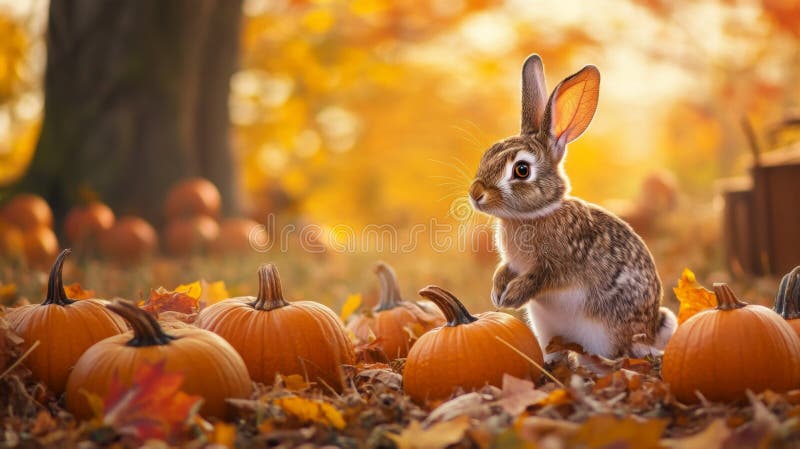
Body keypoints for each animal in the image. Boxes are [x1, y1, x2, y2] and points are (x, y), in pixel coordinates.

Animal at [468, 54, 677, 359]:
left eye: (521, 170)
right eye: (487, 153)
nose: (475, 194)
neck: (531, 215)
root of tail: (650, 333)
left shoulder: (559, 265)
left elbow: (540, 279)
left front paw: (511, 297)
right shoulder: (514, 264)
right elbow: (504, 270)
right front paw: (496, 292)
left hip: (606, 333)